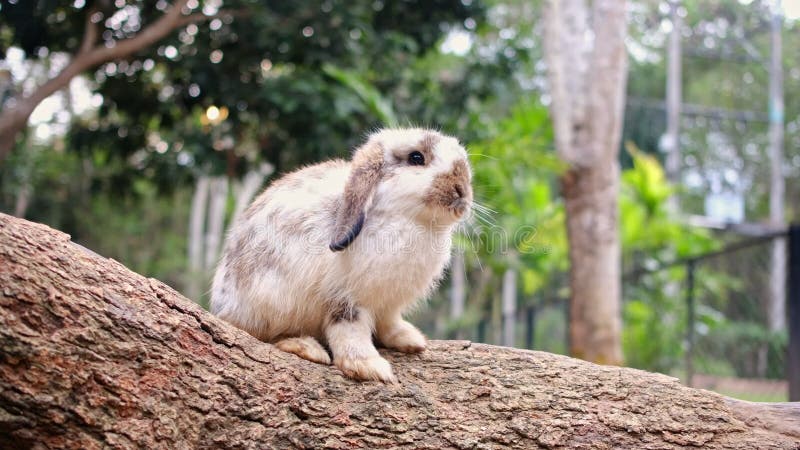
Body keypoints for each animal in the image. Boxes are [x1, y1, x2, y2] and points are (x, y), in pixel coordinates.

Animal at [210, 128, 472, 383]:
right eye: (416, 158)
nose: (462, 190)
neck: (411, 220)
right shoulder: (345, 298)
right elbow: (349, 329)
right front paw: (368, 367)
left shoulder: (388, 302)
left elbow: (388, 322)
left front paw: (410, 340)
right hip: (271, 300)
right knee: (261, 335)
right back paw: (306, 347)